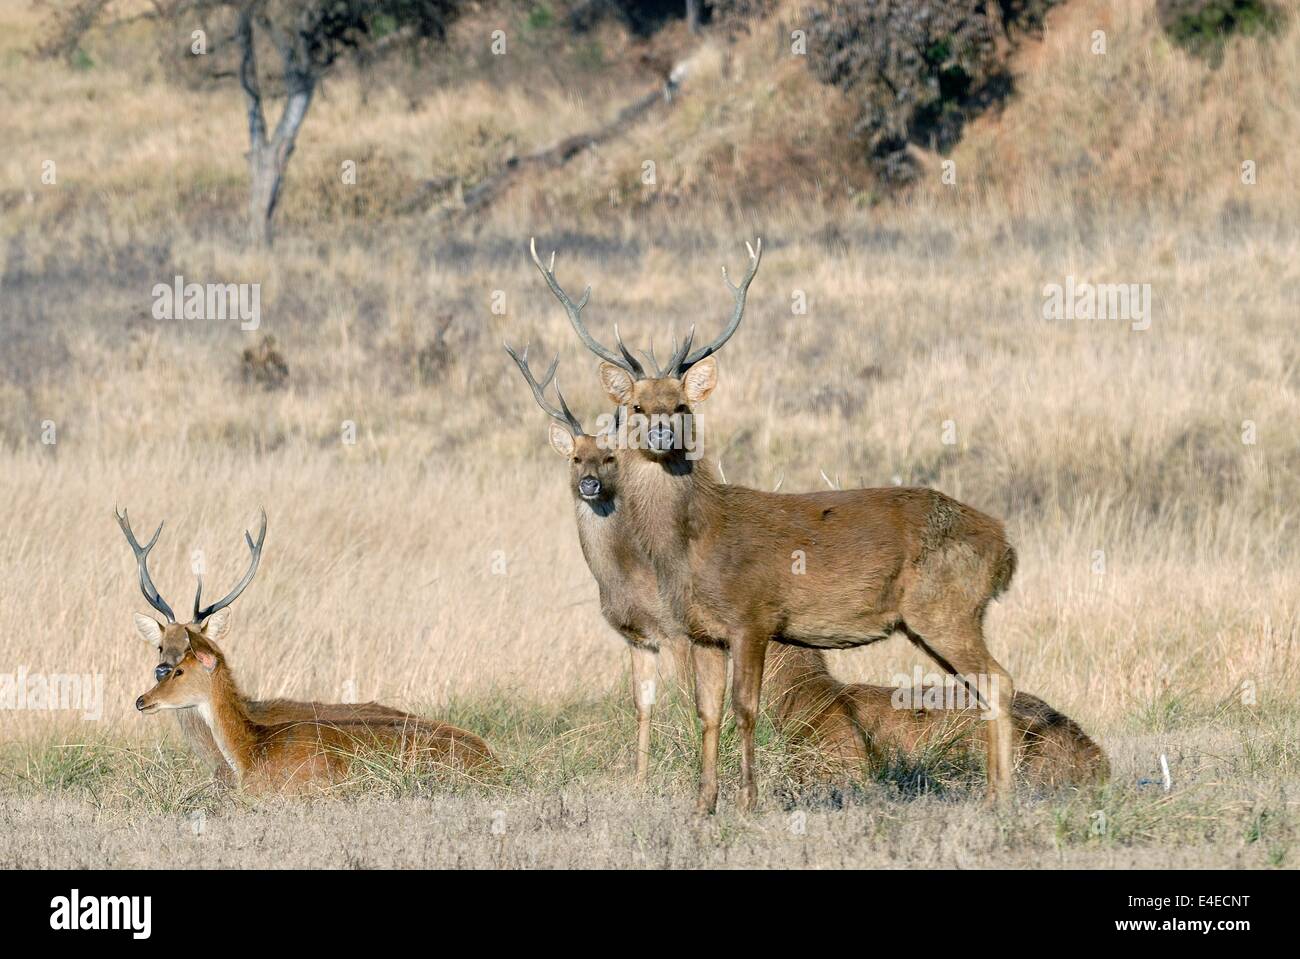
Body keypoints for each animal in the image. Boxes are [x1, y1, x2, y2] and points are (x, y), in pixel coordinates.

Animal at [537, 237, 1023, 812]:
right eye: (636, 405)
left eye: (680, 404)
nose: (660, 434)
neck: (693, 543)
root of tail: (1005, 546)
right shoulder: (704, 632)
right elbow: (708, 712)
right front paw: (704, 804)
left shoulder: (754, 615)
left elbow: (746, 708)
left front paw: (747, 801)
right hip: (934, 619)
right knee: (984, 689)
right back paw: (991, 793)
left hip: (947, 606)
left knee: (1001, 682)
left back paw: (1003, 797)